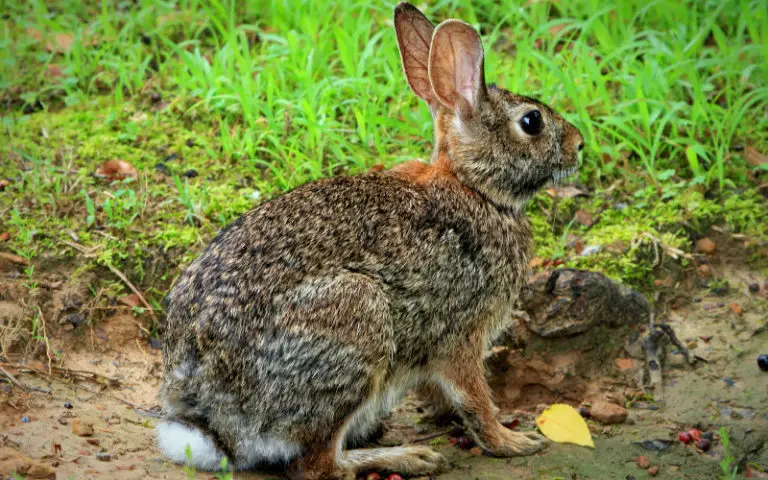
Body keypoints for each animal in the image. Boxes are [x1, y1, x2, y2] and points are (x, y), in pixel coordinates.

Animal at [156, 2, 584, 479]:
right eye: (531, 121)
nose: (580, 145)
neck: (474, 188)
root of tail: (211, 422)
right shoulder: (462, 336)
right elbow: (474, 398)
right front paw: (513, 442)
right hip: (356, 321)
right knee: (318, 465)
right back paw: (406, 456)